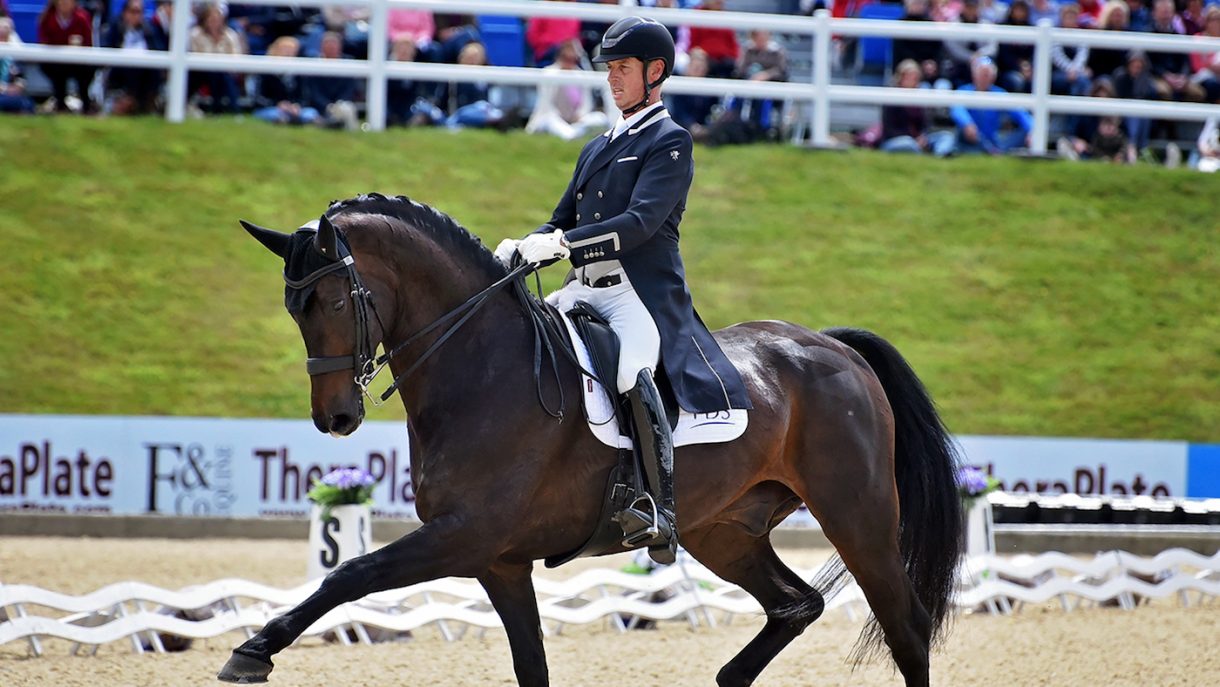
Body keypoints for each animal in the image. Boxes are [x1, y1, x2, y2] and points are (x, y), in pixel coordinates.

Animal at [218, 194, 963, 687]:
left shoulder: (464, 534)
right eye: (293, 309)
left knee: (906, 627)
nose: (334, 418)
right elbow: (531, 666)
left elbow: (349, 572)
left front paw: (254, 649)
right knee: (794, 603)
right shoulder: (500, 561)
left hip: (857, 515)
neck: (482, 368)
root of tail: (834, 347)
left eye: (333, 301)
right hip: (724, 528)